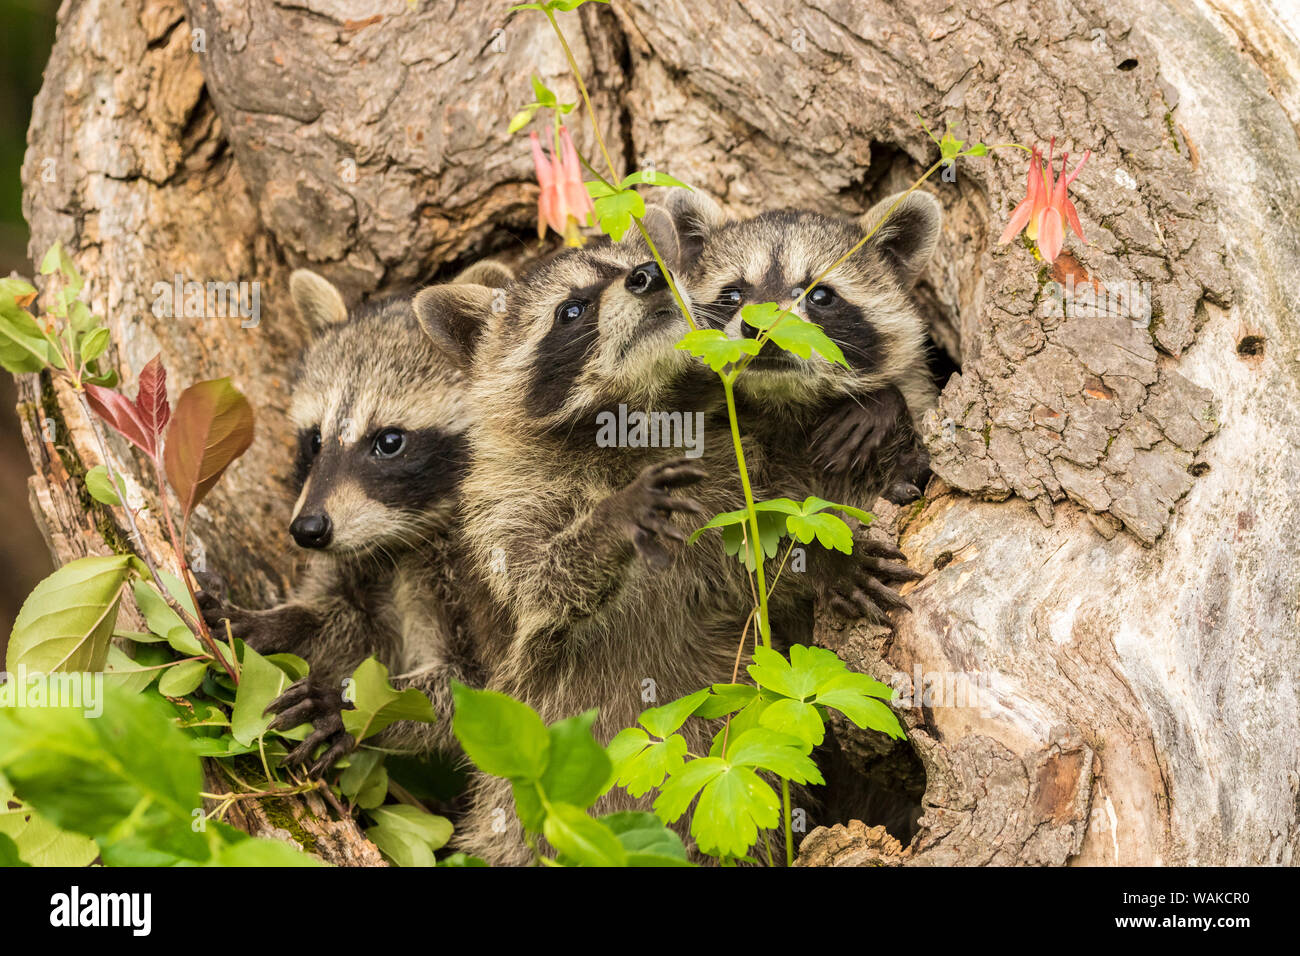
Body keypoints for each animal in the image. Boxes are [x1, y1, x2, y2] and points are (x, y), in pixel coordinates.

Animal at [199, 262, 510, 772]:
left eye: (389, 441)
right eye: (315, 440)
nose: (308, 531)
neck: (407, 540)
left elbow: (475, 692)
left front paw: (351, 704)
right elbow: (350, 624)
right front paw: (278, 624)